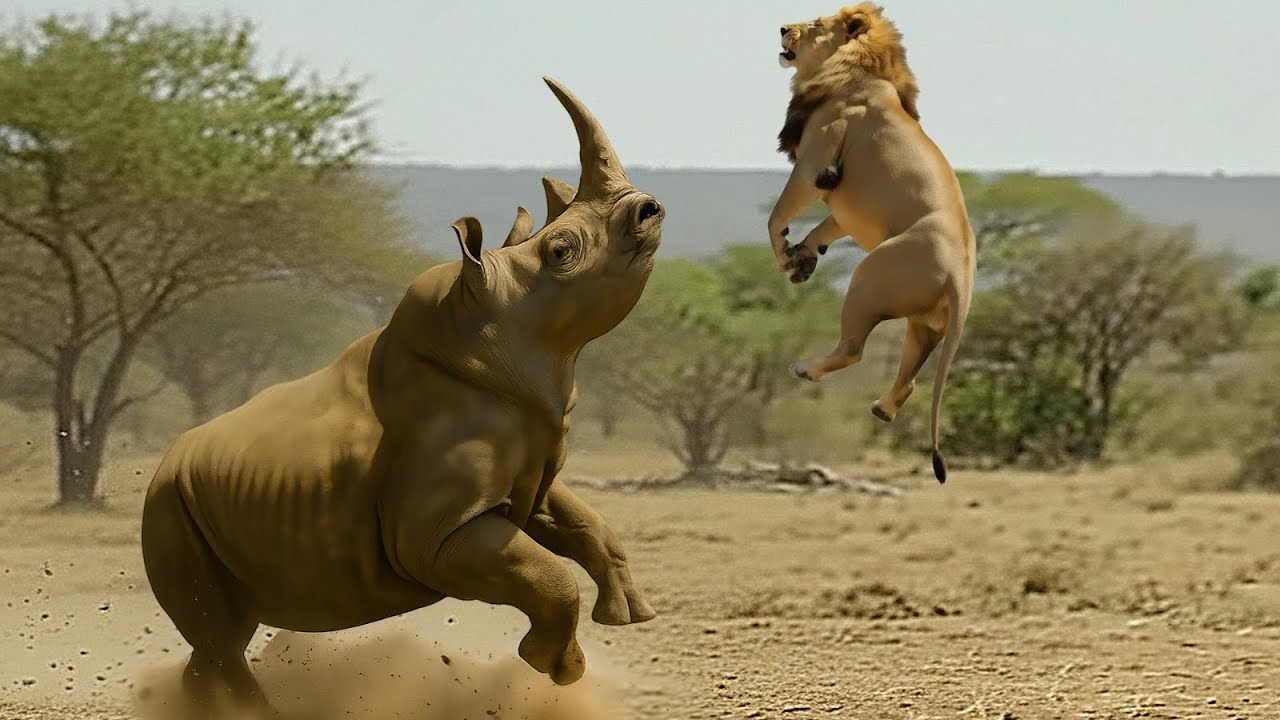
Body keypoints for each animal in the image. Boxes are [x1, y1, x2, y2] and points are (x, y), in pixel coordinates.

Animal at [766, 3, 976, 483]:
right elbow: (823, 230)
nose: (783, 27)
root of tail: (961, 272)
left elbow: (777, 216)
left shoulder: (816, 162)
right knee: (911, 376)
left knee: (852, 350)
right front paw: (802, 260)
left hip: (867, 278)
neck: (849, 71)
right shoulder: (840, 204)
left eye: (816, 24)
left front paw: (786, 255)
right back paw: (882, 409)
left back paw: (805, 368)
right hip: (927, 323)